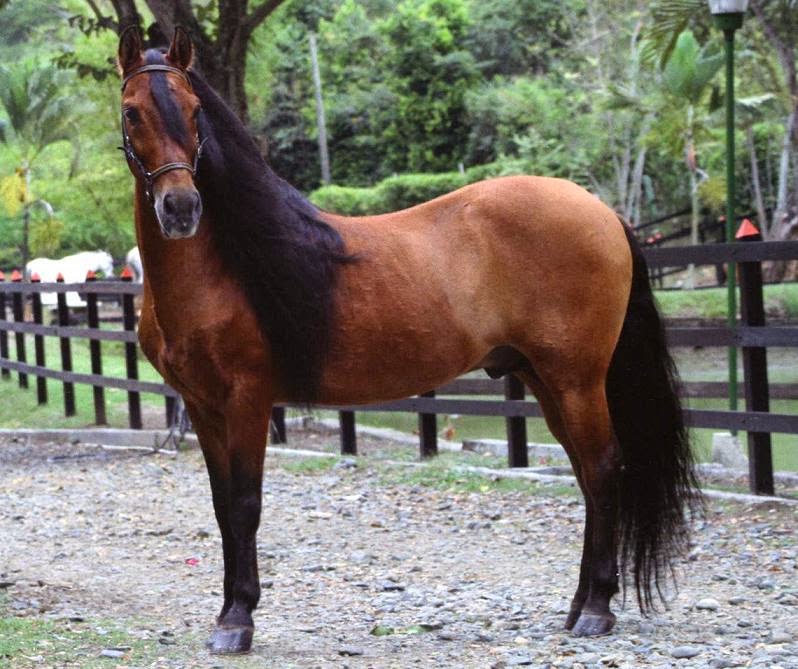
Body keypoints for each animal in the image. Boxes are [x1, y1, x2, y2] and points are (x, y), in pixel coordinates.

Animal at [117, 27, 700, 655]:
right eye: (132, 112)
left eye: (195, 110)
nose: (181, 208)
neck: (224, 269)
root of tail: (604, 213)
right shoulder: (203, 407)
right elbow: (224, 506)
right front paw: (228, 611)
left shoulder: (247, 400)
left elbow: (246, 504)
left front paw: (239, 619)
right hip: (546, 381)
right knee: (589, 477)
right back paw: (577, 605)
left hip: (577, 380)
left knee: (603, 469)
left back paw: (596, 608)